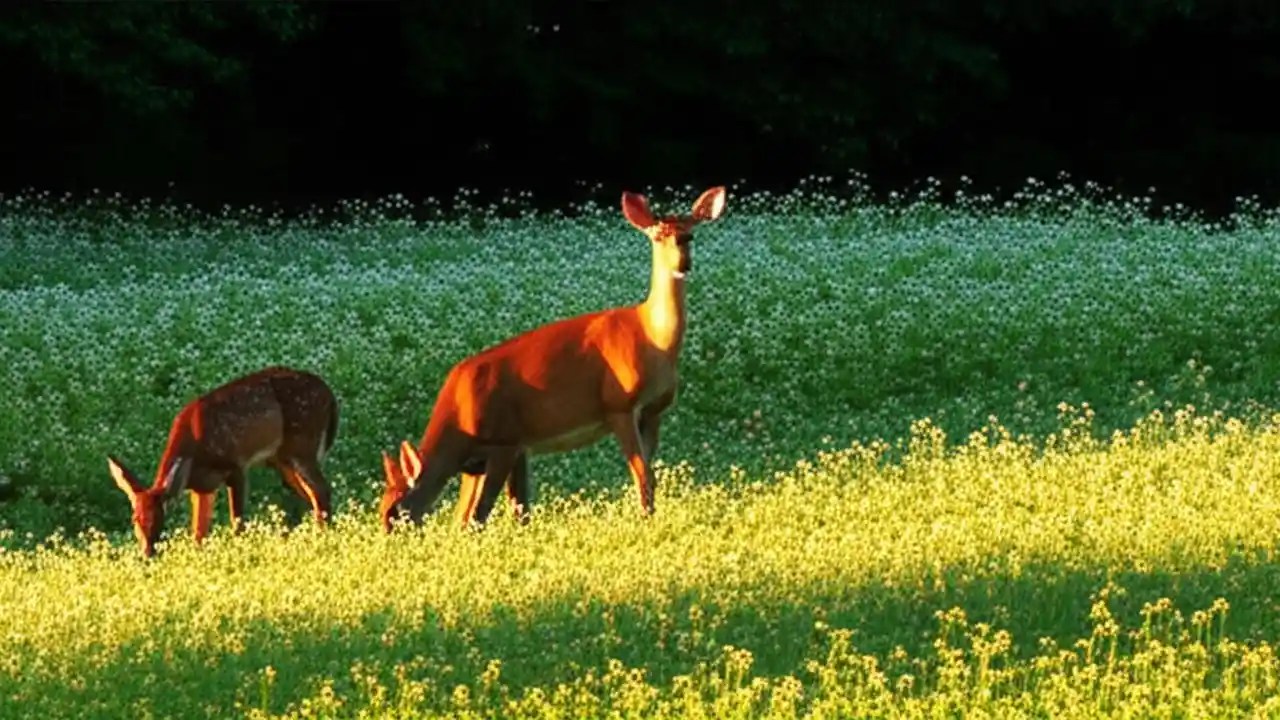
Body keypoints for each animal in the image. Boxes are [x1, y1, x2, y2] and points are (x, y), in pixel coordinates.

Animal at [108, 365, 339, 558]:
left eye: (161, 518)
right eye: (134, 519)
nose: (147, 553)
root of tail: (330, 394)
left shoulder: (236, 465)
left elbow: (237, 521)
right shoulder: (203, 487)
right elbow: (198, 532)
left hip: (302, 447)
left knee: (321, 490)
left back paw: (322, 536)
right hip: (284, 460)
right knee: (313, 494)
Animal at [379, 185, 726, 531]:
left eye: (690, 234)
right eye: (658, 235)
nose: (683, 259)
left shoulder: (614, 410)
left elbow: (484, 514)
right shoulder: (509, 448)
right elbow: (495, 513)